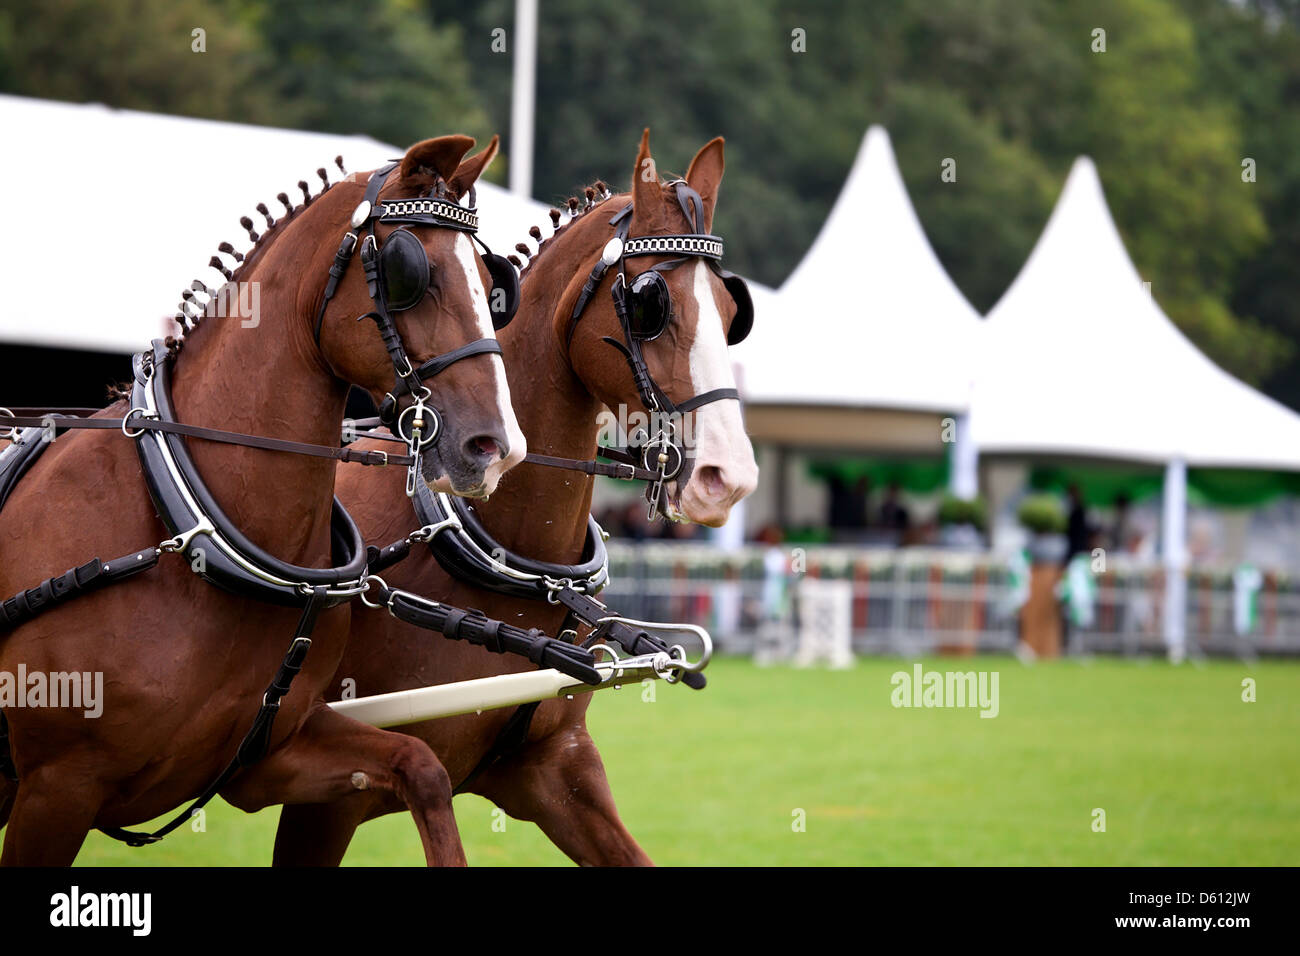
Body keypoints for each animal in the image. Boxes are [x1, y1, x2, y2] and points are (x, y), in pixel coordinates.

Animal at [0, 134, 526, 865]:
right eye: (409, 271)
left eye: (490, 280)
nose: (496, 447)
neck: (189, 527)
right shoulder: (55, 790)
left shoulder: (269, 755)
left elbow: (422, 768)